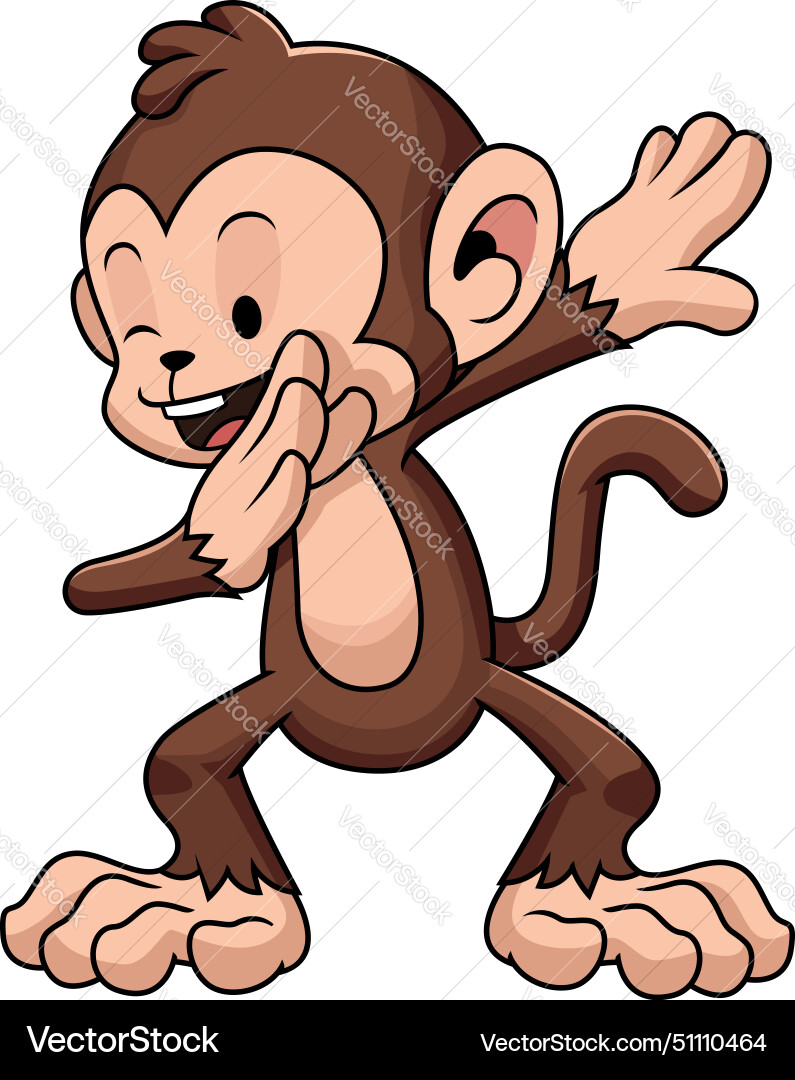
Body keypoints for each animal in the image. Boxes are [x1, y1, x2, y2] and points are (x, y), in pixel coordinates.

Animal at [2, 3, 791, 998]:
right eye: (132, 320)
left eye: (250, 309)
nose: (166, 362)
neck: (343, 465)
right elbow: (105, 583)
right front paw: (243, 504)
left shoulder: (415, 411)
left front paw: (632, 253)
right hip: (278, 697)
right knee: (179, 770)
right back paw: (208, 907)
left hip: (483, 689)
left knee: (615, 777)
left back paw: (590, 907)